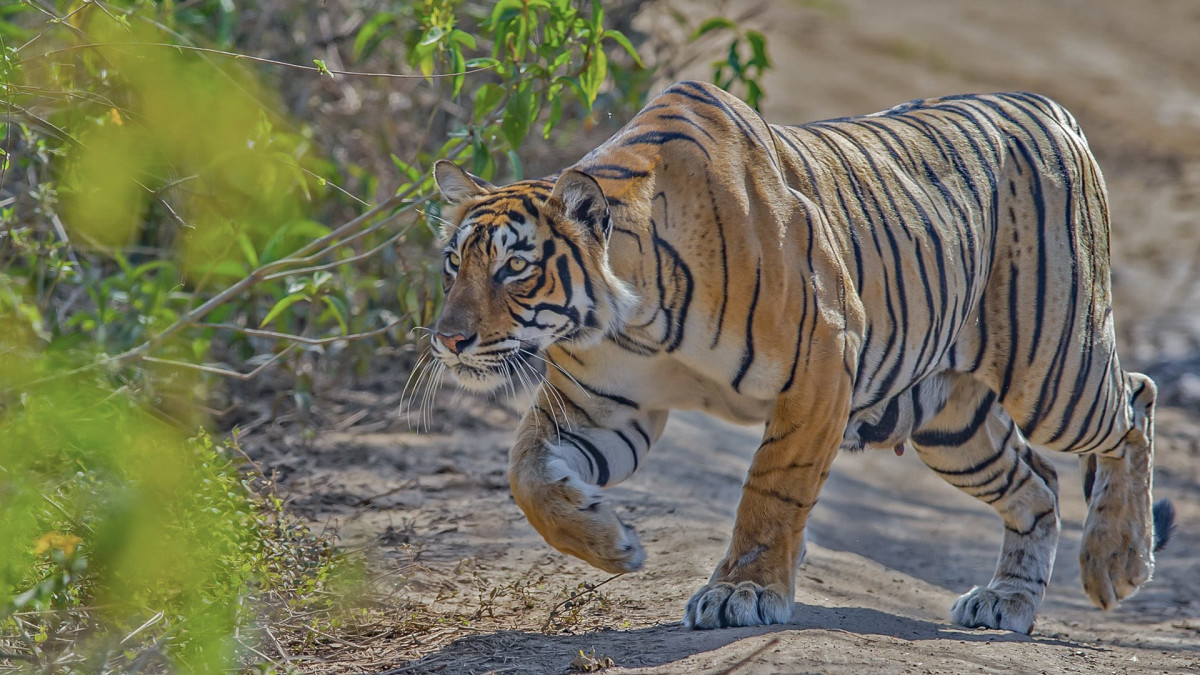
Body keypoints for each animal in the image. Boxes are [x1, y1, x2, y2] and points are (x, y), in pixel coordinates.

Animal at [425, 80, 1175, 633]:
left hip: (1053, 371)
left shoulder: (821, 362)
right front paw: (610, 543)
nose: (448, 339)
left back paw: (1117, 562)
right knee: (1038, 484)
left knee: (1134, 399)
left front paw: (743, 591)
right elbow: (527, 473)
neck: (630, 319)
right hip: (950, 420)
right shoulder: (601, 407)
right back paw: (1006, 600)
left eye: (516, 267)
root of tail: (1048, 105)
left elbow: (774, 488)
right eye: (453, 263)